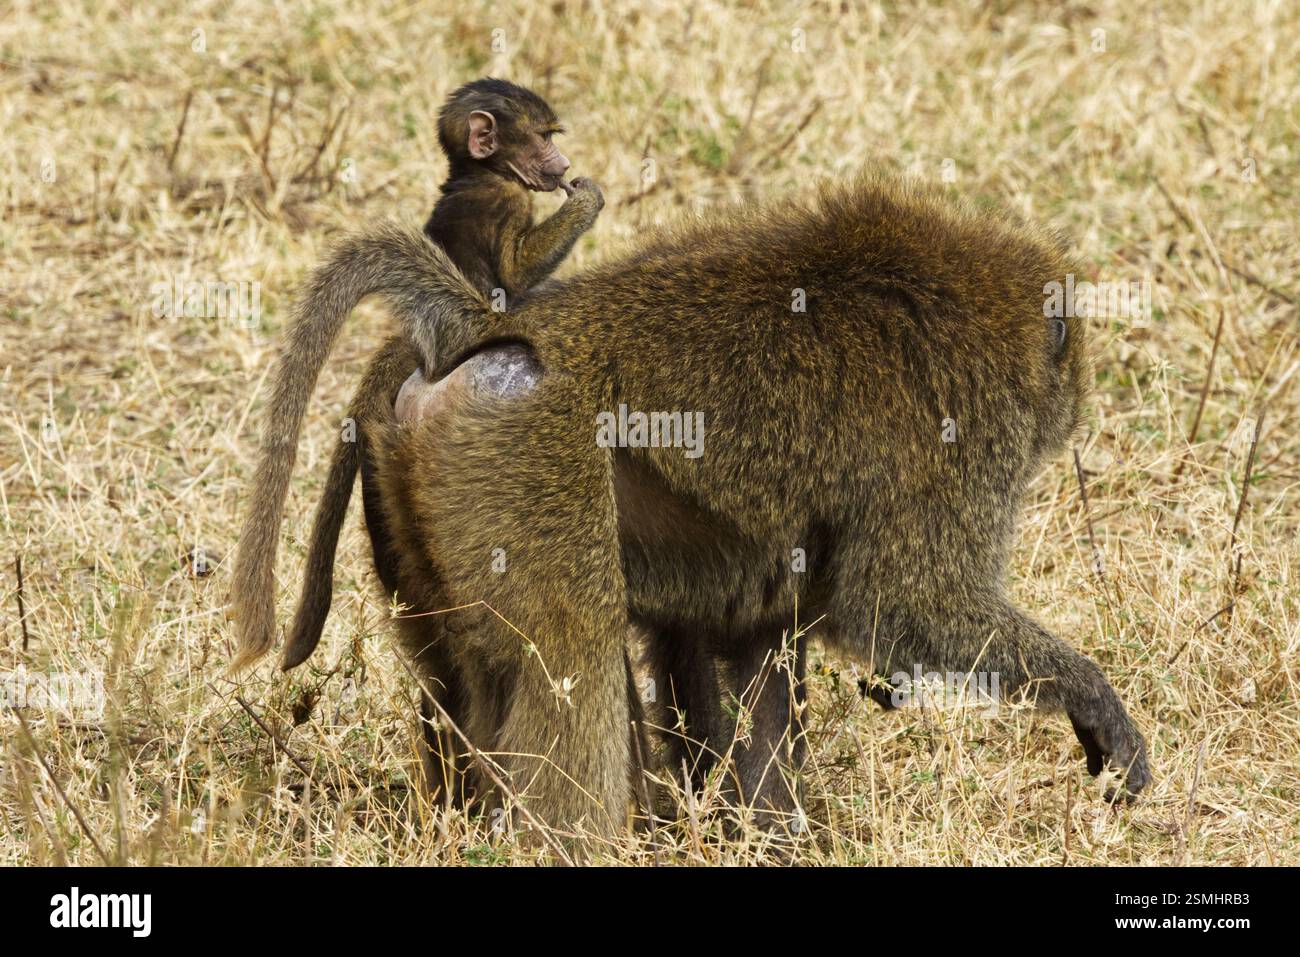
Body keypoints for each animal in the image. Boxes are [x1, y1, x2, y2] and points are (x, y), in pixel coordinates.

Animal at [232, 174, 1151, 842]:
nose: (1073, 406)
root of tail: (471, 329)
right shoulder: (956, 450)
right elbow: (901, 606)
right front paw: (1098, 704)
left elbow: (740, 645)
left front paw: (769, 834)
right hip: (533, 452)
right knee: (571, 656)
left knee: (461, 680)